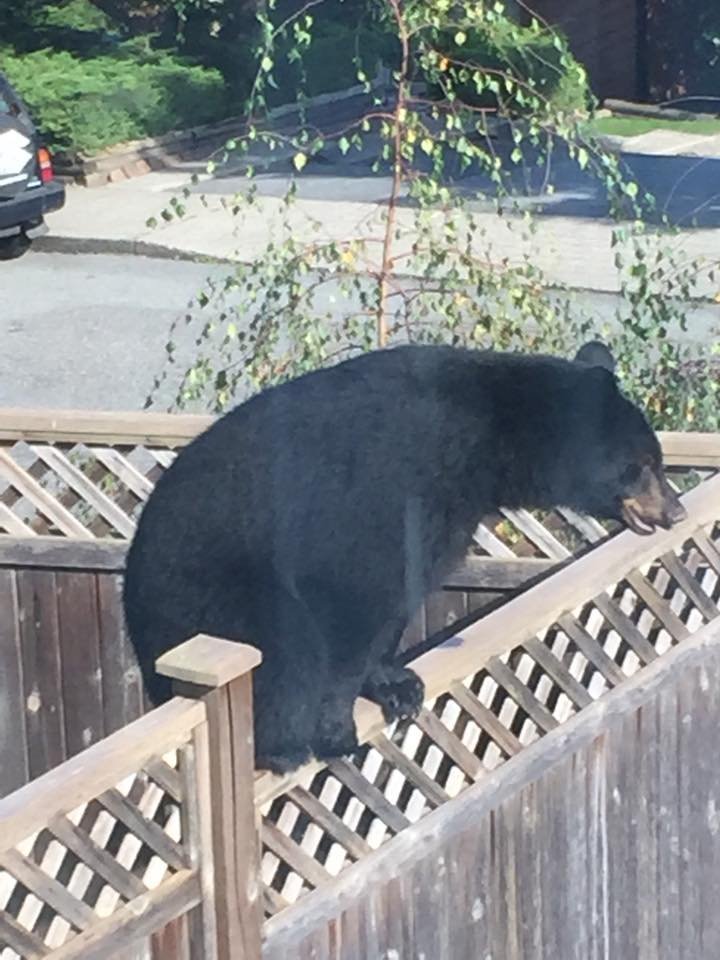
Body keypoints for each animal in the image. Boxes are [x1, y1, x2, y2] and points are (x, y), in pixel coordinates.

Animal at [123, 341, 686, 773]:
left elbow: (399, 599)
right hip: (218, 594)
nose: (675, 510)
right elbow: (351, 606)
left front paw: (396, 685)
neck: (482, 443)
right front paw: (336, 731)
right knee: (287, 650)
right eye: (643, 464)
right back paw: (281, 747)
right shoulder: (385, 495)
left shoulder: (443, 515)